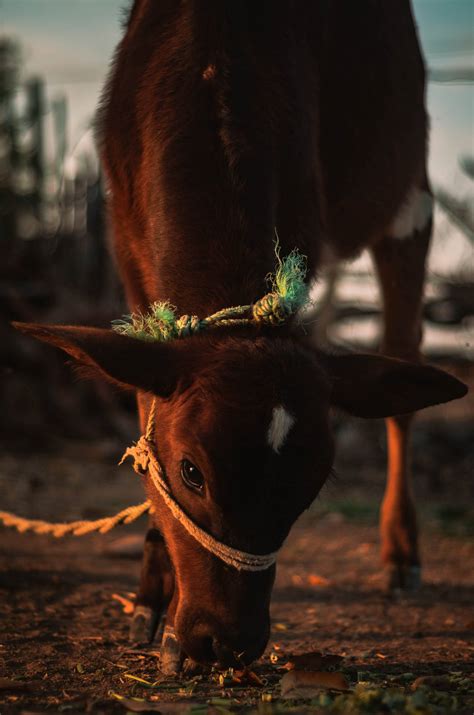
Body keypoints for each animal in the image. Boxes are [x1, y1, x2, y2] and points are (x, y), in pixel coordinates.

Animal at [15, 0, 467, 670]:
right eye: (190, 471)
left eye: (314, 480)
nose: (228, 643)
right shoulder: (130, 259)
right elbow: (147, 412)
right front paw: (150, 600)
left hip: (411, 198)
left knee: (402, 375)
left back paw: (400, 554)